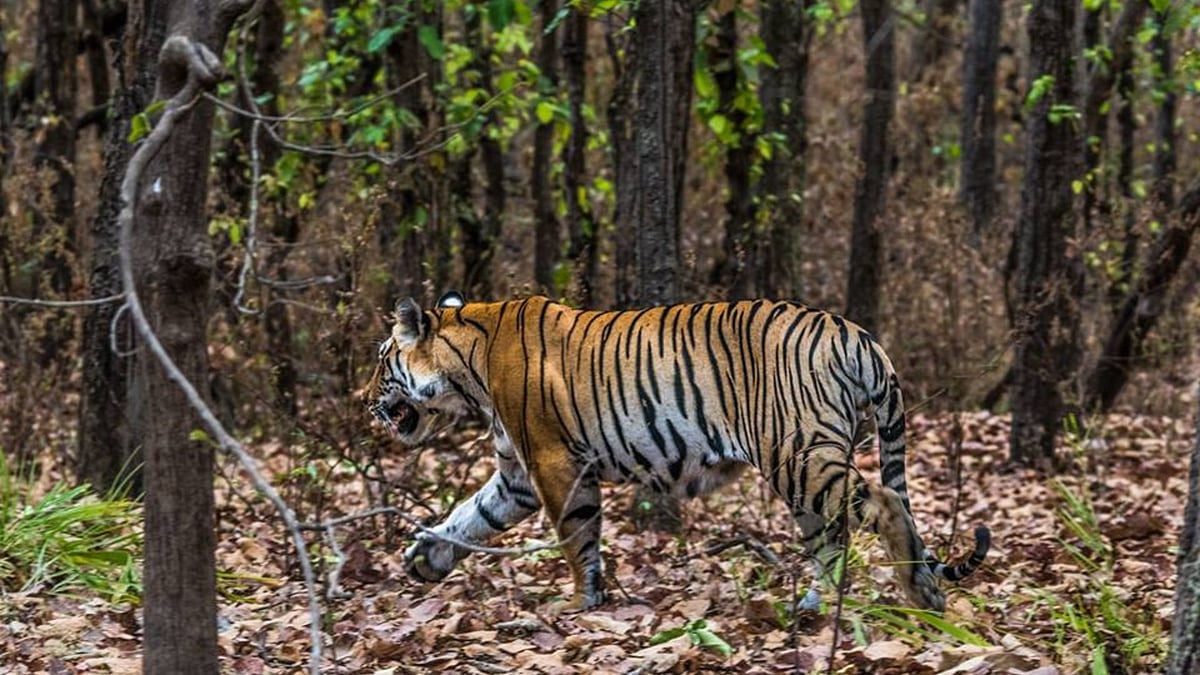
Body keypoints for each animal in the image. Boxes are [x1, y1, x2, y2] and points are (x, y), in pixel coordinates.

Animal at [366, 292, 990, 613]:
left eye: (380, 360)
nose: (364, 402)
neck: (465, 369)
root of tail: (854, 333)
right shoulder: (518, 476)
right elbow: (469, 517)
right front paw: (425, 559)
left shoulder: (553, 463)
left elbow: (575, 537)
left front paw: (581, 603)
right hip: (804, 467)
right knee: (834, 537)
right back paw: (815, 606)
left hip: (798, 455)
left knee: (884, 502)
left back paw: (922, 596)